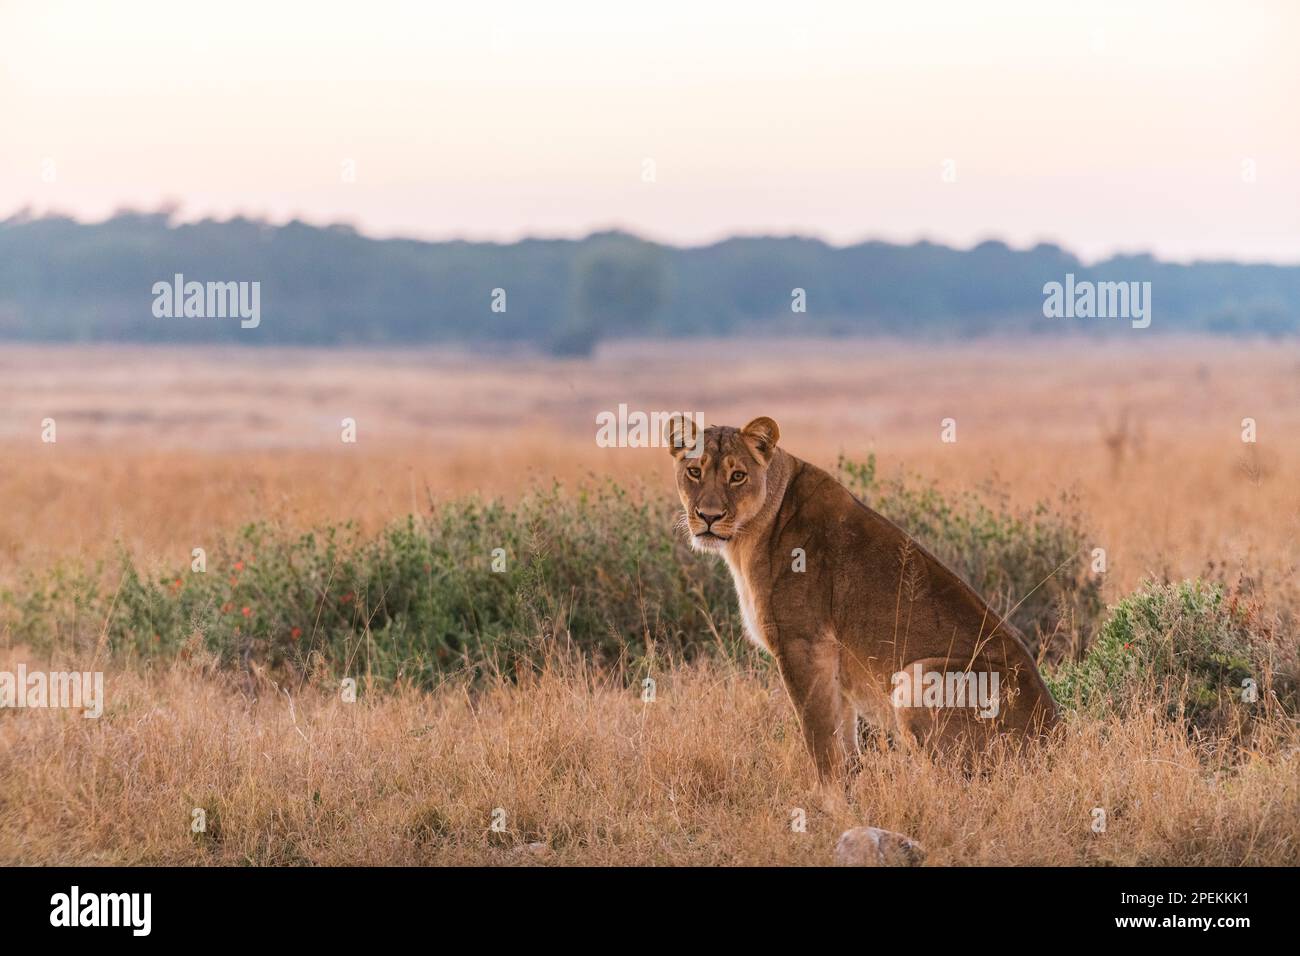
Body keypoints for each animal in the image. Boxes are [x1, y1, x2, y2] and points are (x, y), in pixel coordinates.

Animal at [665, 414, 1058, 781]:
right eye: (695, 471)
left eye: (738, 476)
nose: (709, 517)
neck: (750, 536)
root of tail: (1055, 735)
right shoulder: (831, 661)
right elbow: (844, 743)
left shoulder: (803, 644)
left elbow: (820, 741)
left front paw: (829, 801)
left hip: (918, 674)